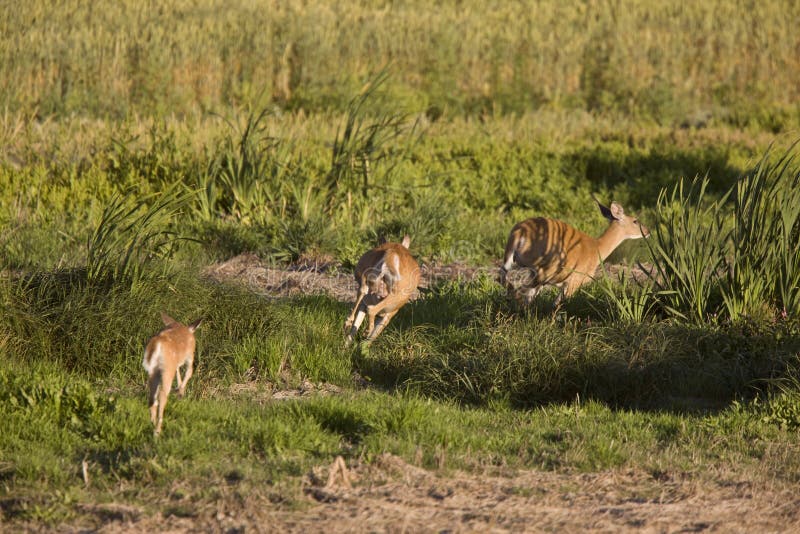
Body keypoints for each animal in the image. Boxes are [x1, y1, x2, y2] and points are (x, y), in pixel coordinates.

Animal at [499, 197, 649, 307]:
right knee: (518, 290)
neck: (597, 249)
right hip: (544, 269)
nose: (648, 231)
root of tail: (518, 232)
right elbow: (557, 306)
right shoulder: (575, 280)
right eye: (635, 221)